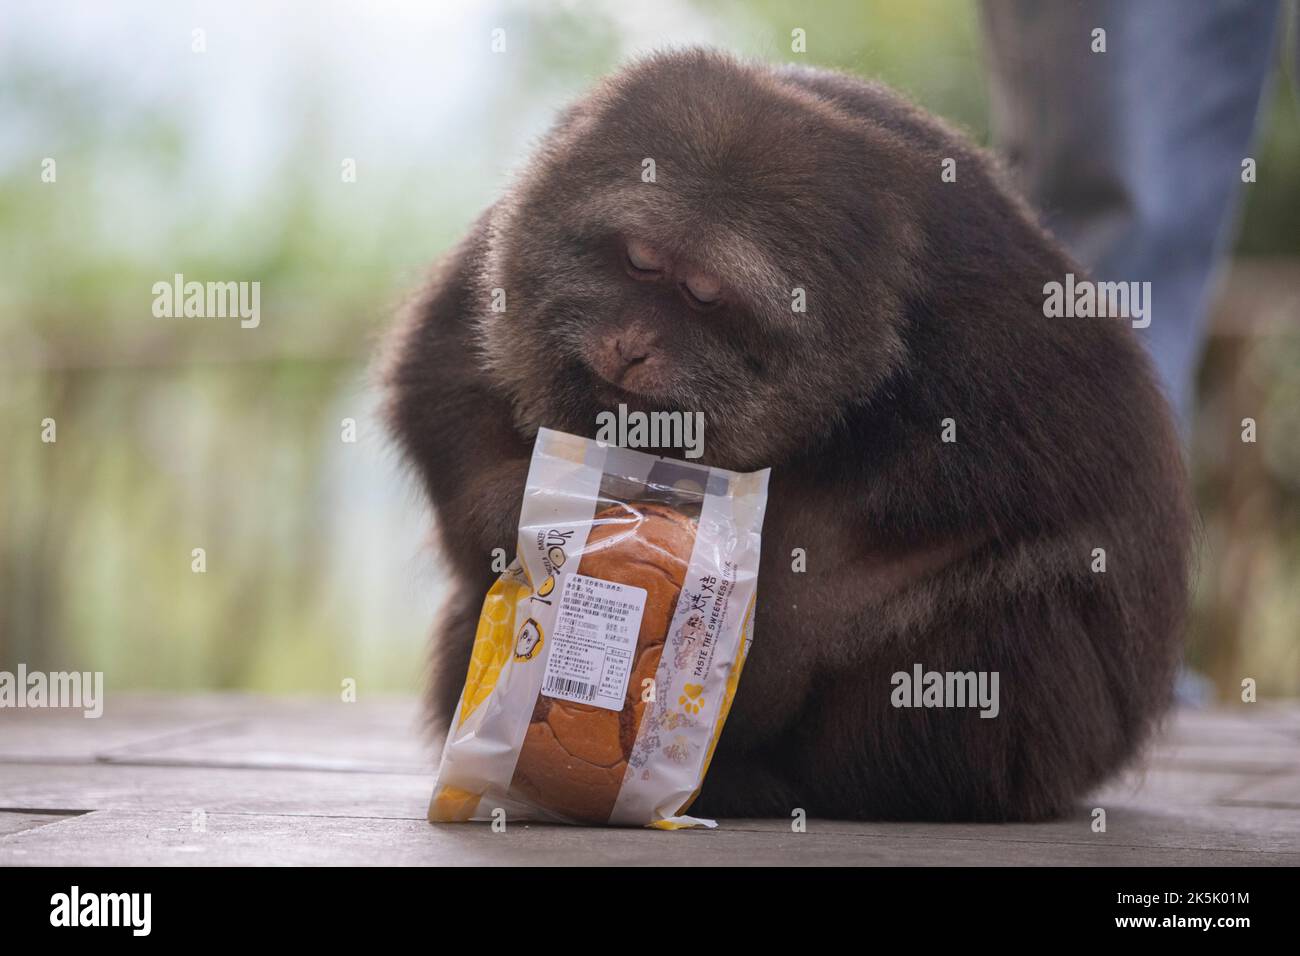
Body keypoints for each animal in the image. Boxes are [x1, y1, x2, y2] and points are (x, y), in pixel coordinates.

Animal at [382, 48, 1192, 822]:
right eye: (639, 260)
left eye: (704, 295)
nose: (629, 346)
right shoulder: (528, 218)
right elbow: (443, 375)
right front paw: (527, 513)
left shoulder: (988, 315)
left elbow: (1082, 499)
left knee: (1014, 612)